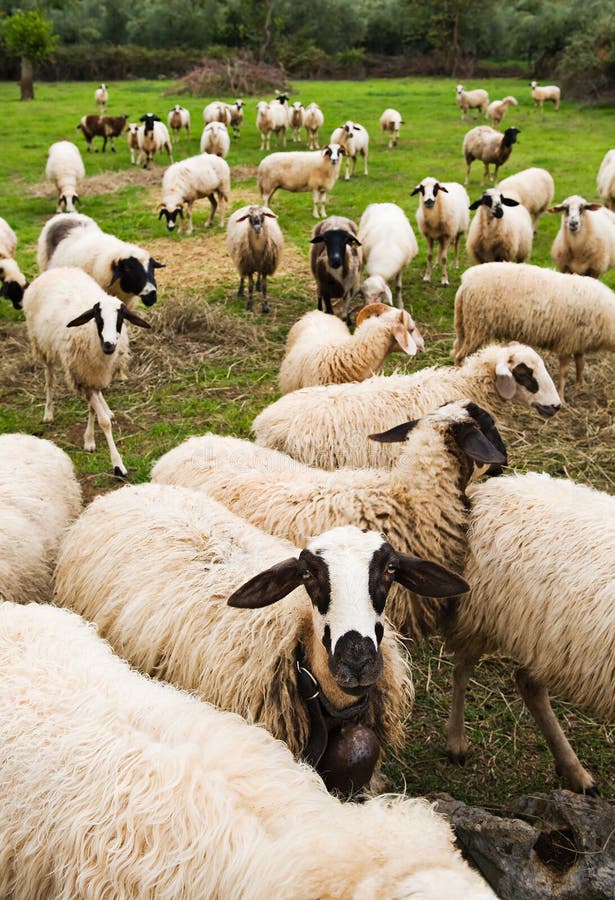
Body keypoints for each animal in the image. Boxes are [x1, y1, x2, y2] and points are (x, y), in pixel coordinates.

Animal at [22, 267, 151, 478]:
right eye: (98, 318)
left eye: (121, 317)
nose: (109, 345)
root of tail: (57, 269)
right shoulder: (82, 376)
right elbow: (104, 422)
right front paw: (118, 465)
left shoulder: (92, 375)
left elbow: (93, 409)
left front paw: (89, 439)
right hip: (43, 346)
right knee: (49, 380)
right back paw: (48, 412)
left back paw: (106, 408)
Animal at [445, 470, 615, 795]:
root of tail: (490, 489)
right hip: (483, 613)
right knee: (463, 670)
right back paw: (456, 743)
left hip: (546, 638)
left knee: (527, 683)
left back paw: (573, 771)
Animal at [453, 261, 615, 397]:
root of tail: (466, 282)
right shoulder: (567, 342)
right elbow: (564, 372)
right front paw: (561, 396)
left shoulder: (578, 340)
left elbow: (580, 364)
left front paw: (581, 385)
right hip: (477, 326)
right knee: (461, 356)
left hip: (466, 325)